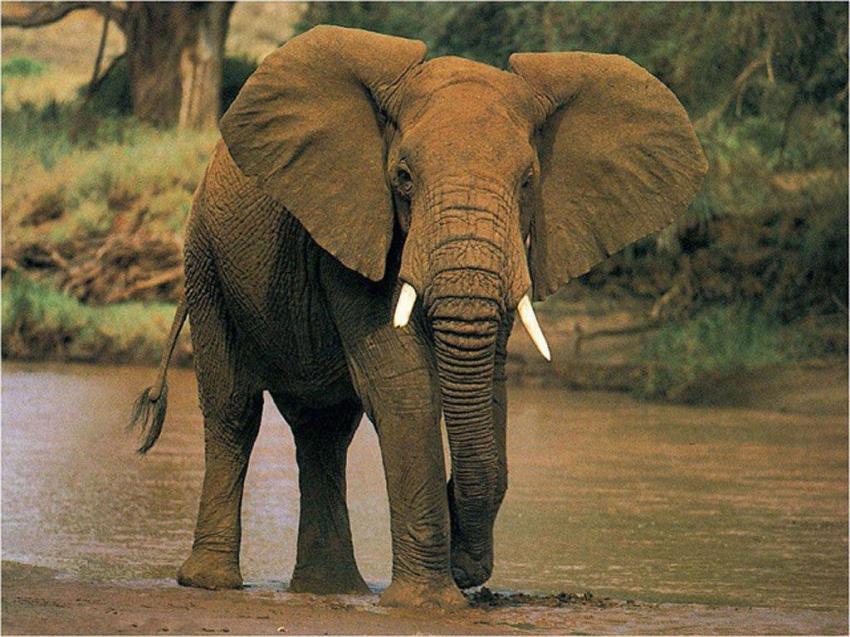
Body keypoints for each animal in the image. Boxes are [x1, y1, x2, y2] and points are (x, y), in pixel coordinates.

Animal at [129, 25, 707, 608]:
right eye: (403, 178)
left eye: (528, 181)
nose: (469, 567)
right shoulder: (356, 221)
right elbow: (403, 384)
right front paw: (429, 602)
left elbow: (487, 383)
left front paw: (457, 568)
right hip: (205, 262)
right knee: (234, 409)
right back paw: (213, 582)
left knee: (324, 431)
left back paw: (331, 590)